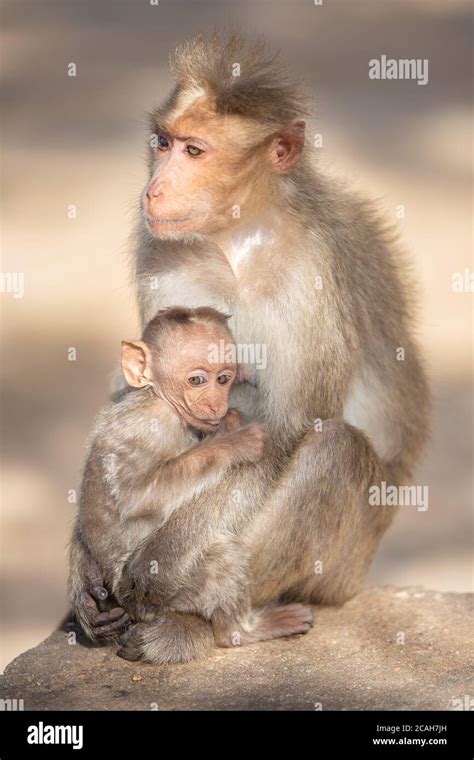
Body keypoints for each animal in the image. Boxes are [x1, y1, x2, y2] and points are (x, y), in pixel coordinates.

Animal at [69, 31, 430, 664]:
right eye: (163, 143)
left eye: (195, 151)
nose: (155, 187)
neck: (239, 234)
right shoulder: (164, 251)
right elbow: (134, 390)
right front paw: (82, 562)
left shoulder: (312, 271)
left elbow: (286, 431)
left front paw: (161, 567)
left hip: (344, 568)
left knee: (331, 449)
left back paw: (203, 625)